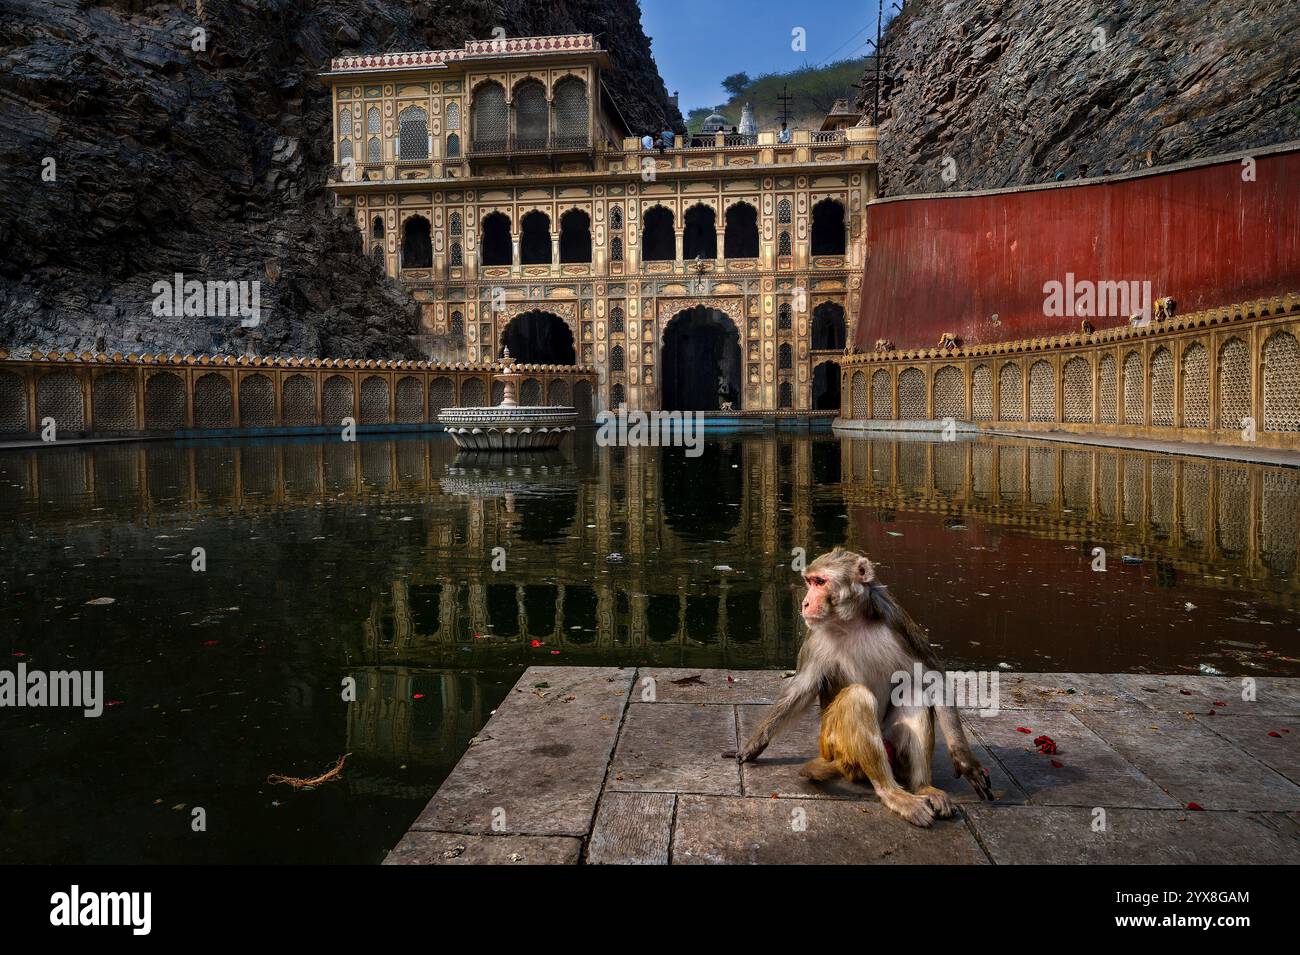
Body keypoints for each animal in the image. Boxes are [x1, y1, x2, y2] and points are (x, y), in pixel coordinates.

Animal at [735, 547, 994, 827]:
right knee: (858, 697)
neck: (852, 620)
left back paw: (922, 788)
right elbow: (802, 688)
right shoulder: (815, 635)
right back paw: (892, 793)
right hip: (833, 745)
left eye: (820, 582)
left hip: (889, 746)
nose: (805, 603)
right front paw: (754, 745)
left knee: (913, 693)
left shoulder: (896, 619)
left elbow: (932, 679)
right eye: (810, 581)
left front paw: (965, 760)